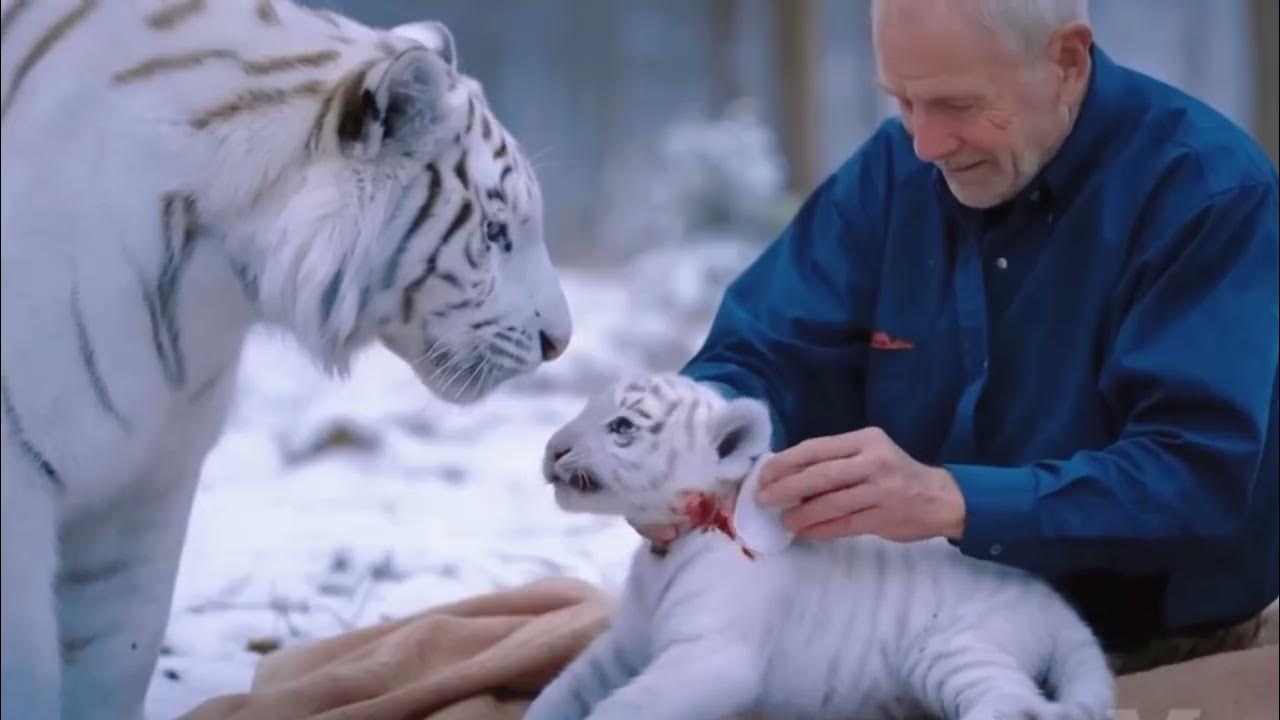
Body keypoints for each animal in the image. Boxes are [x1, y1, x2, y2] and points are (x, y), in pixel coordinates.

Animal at [0, 2, 571, 718]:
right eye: (494, 233)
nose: (561, 341)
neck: (208, 285)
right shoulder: (19, 477)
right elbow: (26, 666)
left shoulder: (149, 484)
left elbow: (115, 658)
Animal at [527, 372, 1115, 720]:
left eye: (621, 426)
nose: (553, 449)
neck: (671, 545)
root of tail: (1058, 607)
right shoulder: (627, 642)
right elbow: (563, 692)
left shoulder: (710, 653)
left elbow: (624, 709)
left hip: (958, 646)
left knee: (1014, 702)